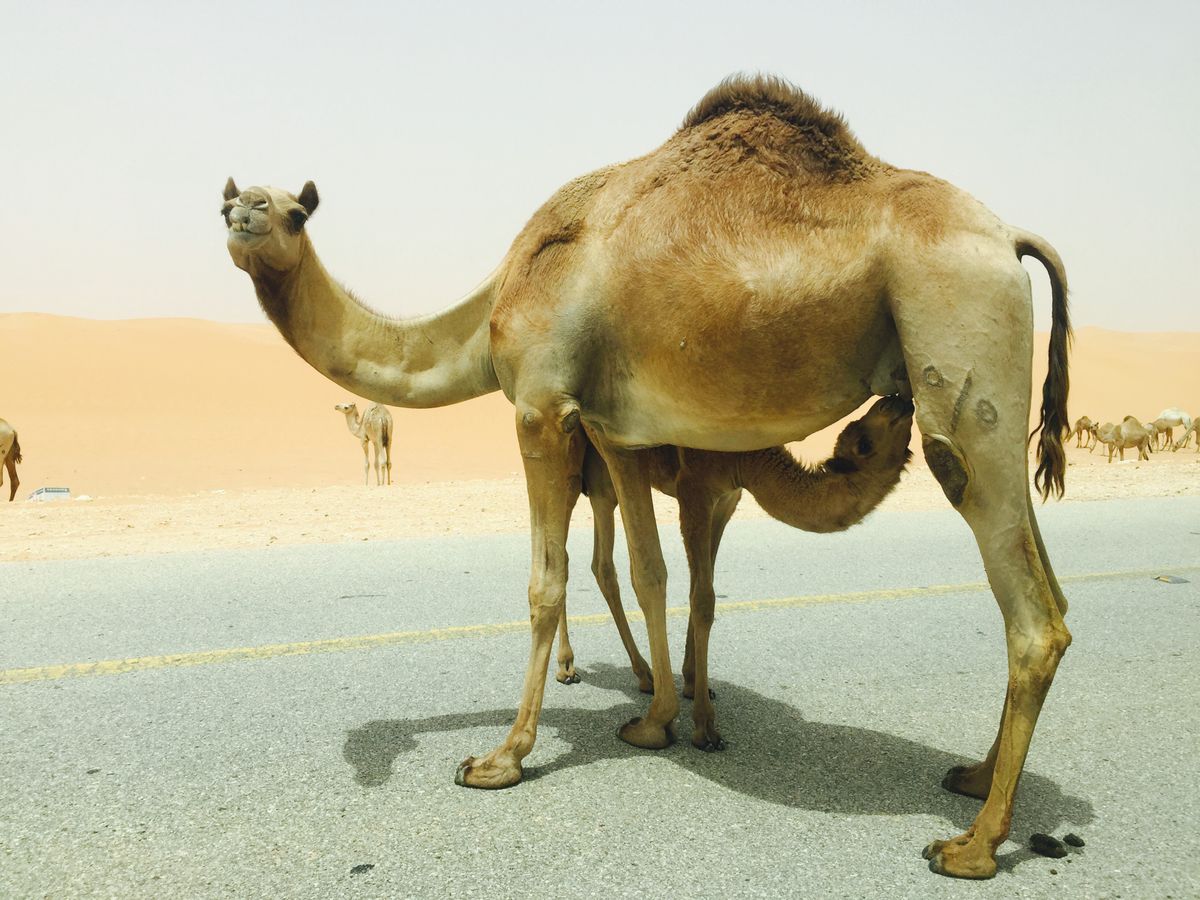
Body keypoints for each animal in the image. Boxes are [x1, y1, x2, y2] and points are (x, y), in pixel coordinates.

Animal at [553, 395, 914, 751]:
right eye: (863, 442)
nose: (897, 402)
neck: (747, 457)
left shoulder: (727, 498)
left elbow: (704, 586)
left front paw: (693, 682)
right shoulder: (694, 490)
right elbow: (702, 599)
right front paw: (705, 727)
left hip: (601, 476)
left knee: (600, 562)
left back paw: (644, 675)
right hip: (577, 458)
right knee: (563, 552)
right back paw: (567, 667)